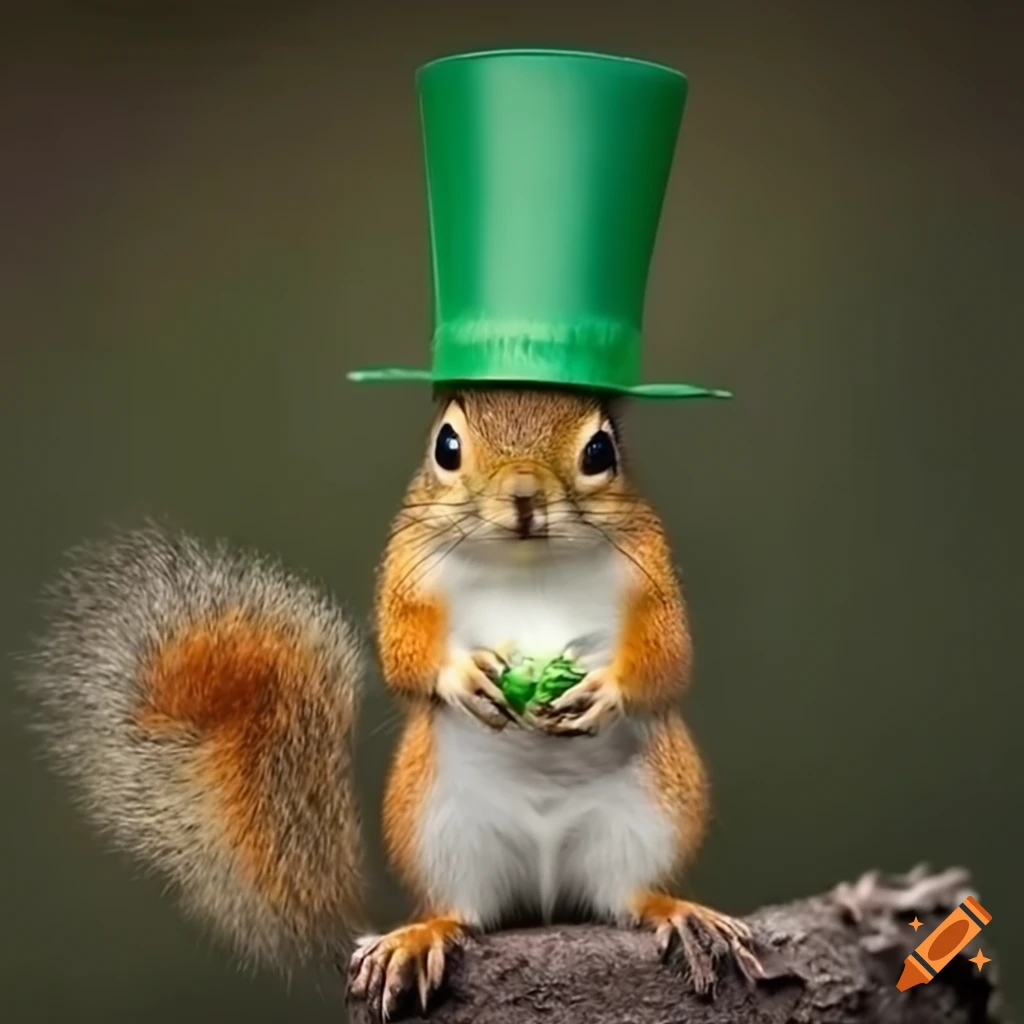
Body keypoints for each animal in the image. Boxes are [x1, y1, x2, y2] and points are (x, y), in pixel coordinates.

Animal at [22, 387, 763, 1020]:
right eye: (446, 445)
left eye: (600, 451)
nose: (524, 497)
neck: (528, 566)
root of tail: (545, 890)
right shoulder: (408, 564)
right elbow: (402, 650)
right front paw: (462, 677)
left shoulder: (651, 565)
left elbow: (668, 657)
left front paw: (601, 690)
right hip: (441, 833)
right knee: (461, 911)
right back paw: (421, 934)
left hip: (649, 818)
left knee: (628, 894)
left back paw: (677, 913)